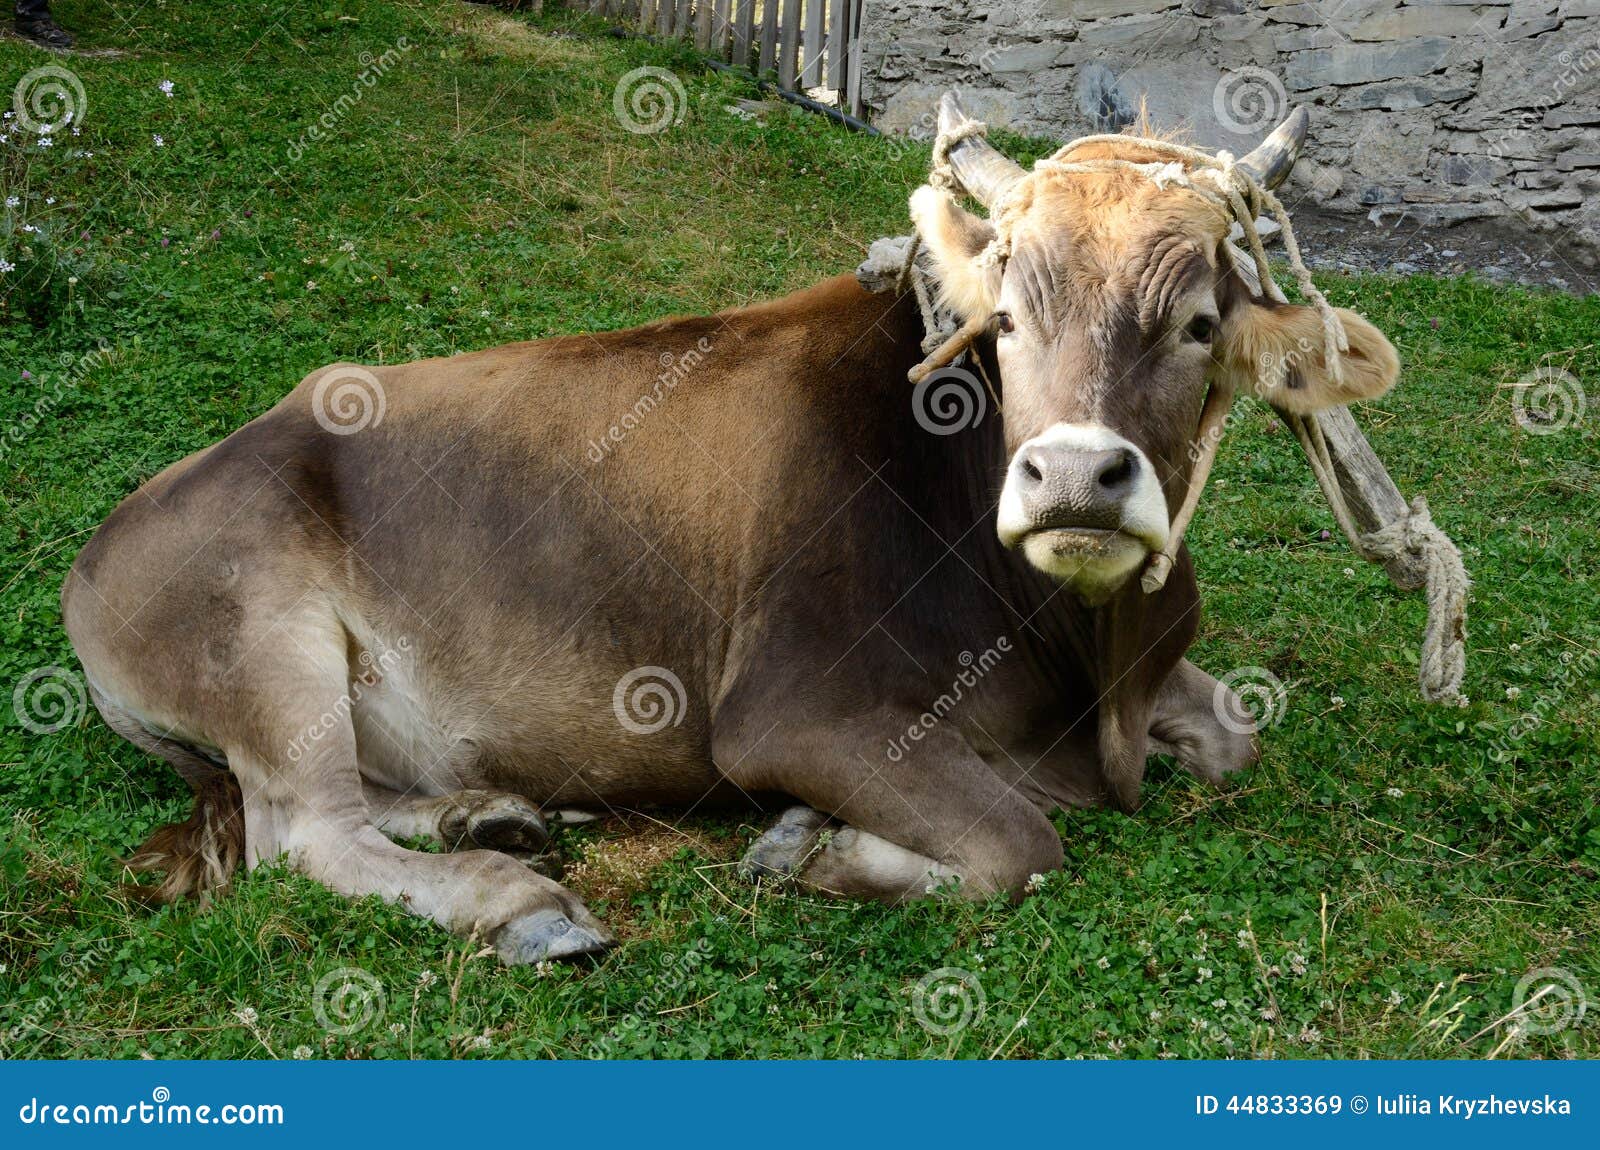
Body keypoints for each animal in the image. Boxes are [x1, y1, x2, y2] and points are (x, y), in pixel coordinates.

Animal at [61, 98, 1399, 963]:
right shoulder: (791, 709)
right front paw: (811, 849)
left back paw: (483, 812)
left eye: (1197, 322)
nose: (1074, 475)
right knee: (305, 833)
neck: (1090, 668)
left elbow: (1233, 738)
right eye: (1008, 316)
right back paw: (513, 898)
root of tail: (104, 539)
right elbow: (1020, 841)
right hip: (261, 630)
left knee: (355, 796)